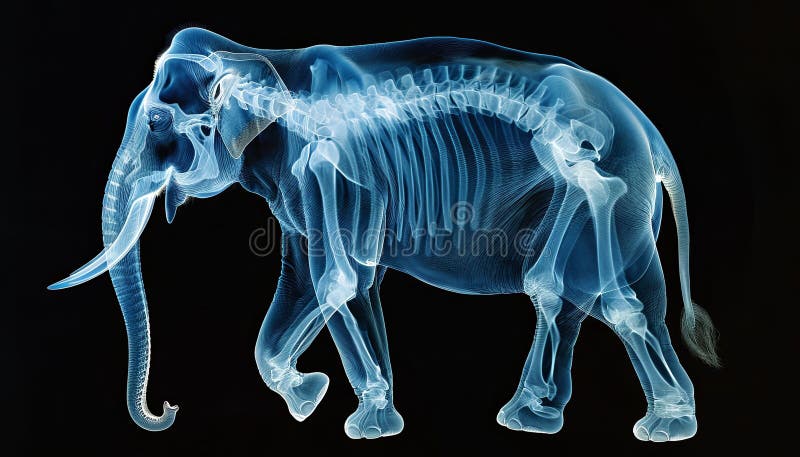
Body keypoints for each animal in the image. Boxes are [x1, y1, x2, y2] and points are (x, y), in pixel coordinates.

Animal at [50, 28, 719, 441]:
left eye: (159, 120)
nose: (166, 408)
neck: (258, 62)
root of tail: (646, 129)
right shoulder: (307, 194)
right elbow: (332, 286)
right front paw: (322, 398)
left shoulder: (327, 167)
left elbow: (336, 280)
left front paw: (353, 413)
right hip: (604, 212)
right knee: (577, 292)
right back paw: (539, 415)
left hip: (608, 184)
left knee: (616, 293)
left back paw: (661, 427)